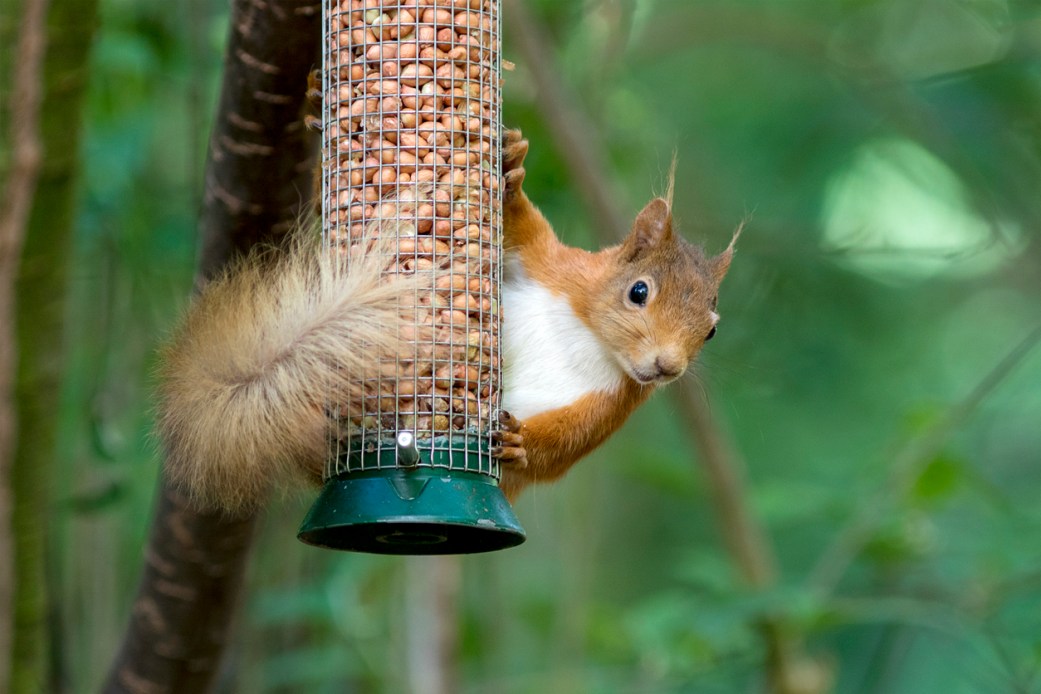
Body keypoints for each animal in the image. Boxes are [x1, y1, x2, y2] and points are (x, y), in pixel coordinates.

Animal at [155, 129, 736, 513]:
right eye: (639, 291)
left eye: (710, 330)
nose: (666, 367)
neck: (591, 337)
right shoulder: (554, 266)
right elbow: (523, 232)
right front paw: (510, 169)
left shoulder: (612, 406)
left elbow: (560, 449)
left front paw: (520, 444)